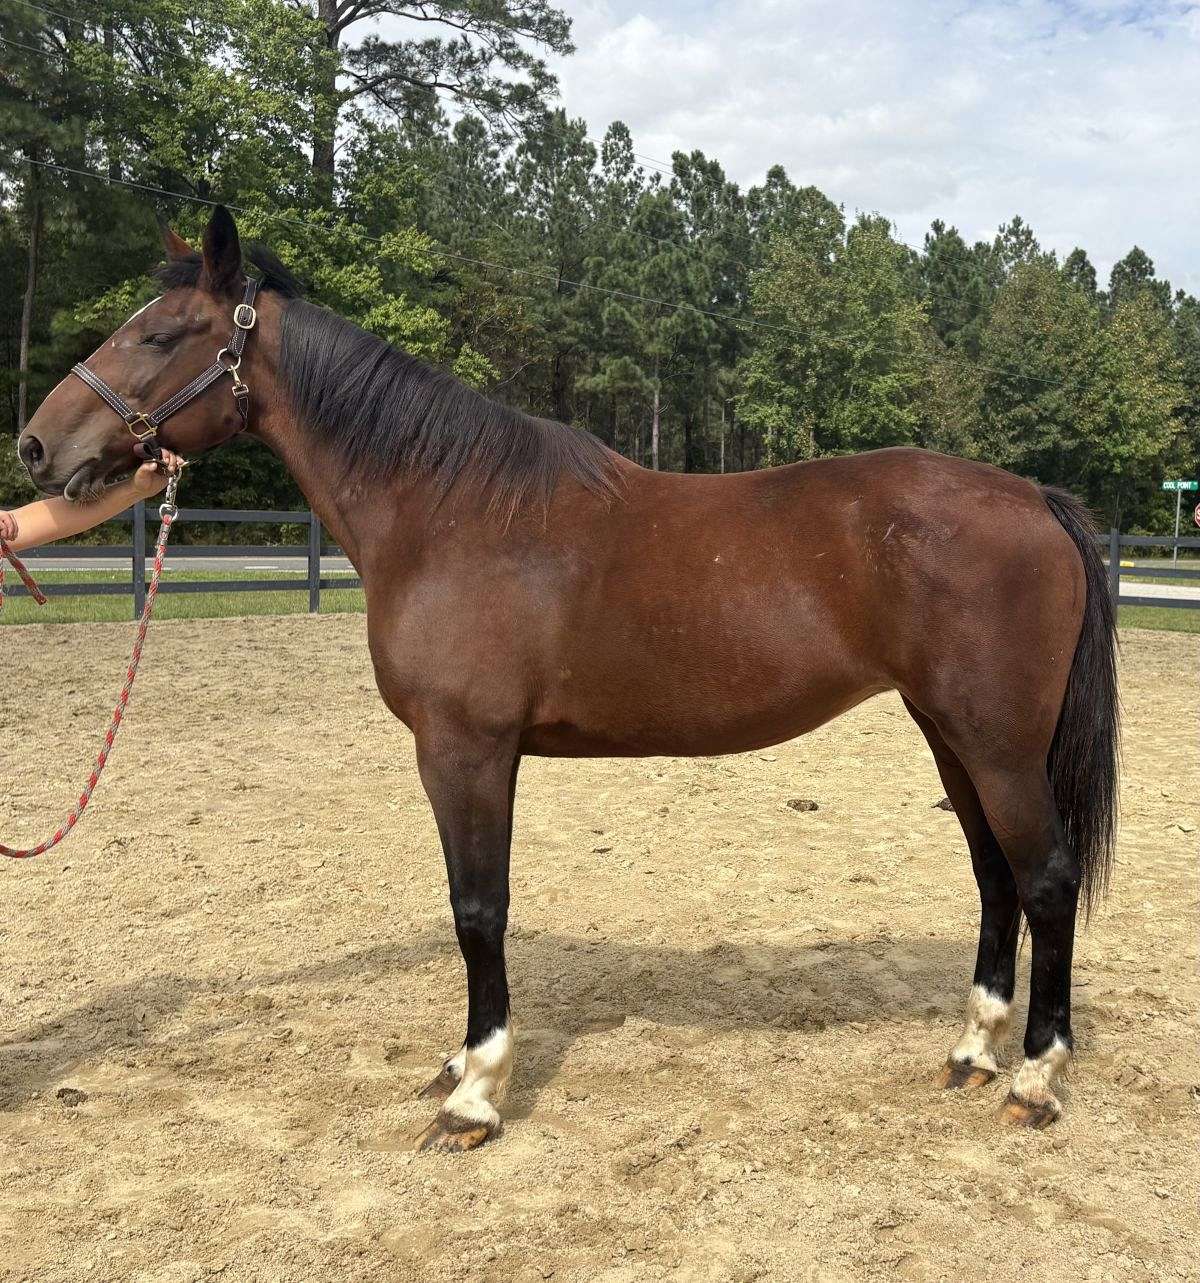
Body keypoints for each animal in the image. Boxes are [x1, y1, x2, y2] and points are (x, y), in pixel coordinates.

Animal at [18, 206, 1118, 1151]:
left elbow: (477, 906)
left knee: (1047, 878)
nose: (35, 444)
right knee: (995, 876)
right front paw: (461, 1064)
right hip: (951, 733)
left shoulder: (463, 748)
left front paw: (474, 1093)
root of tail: (1035, 497)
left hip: (997, 745)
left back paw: (1034, 1077)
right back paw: (973, 1050)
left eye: (161, 334)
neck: (449, 509)